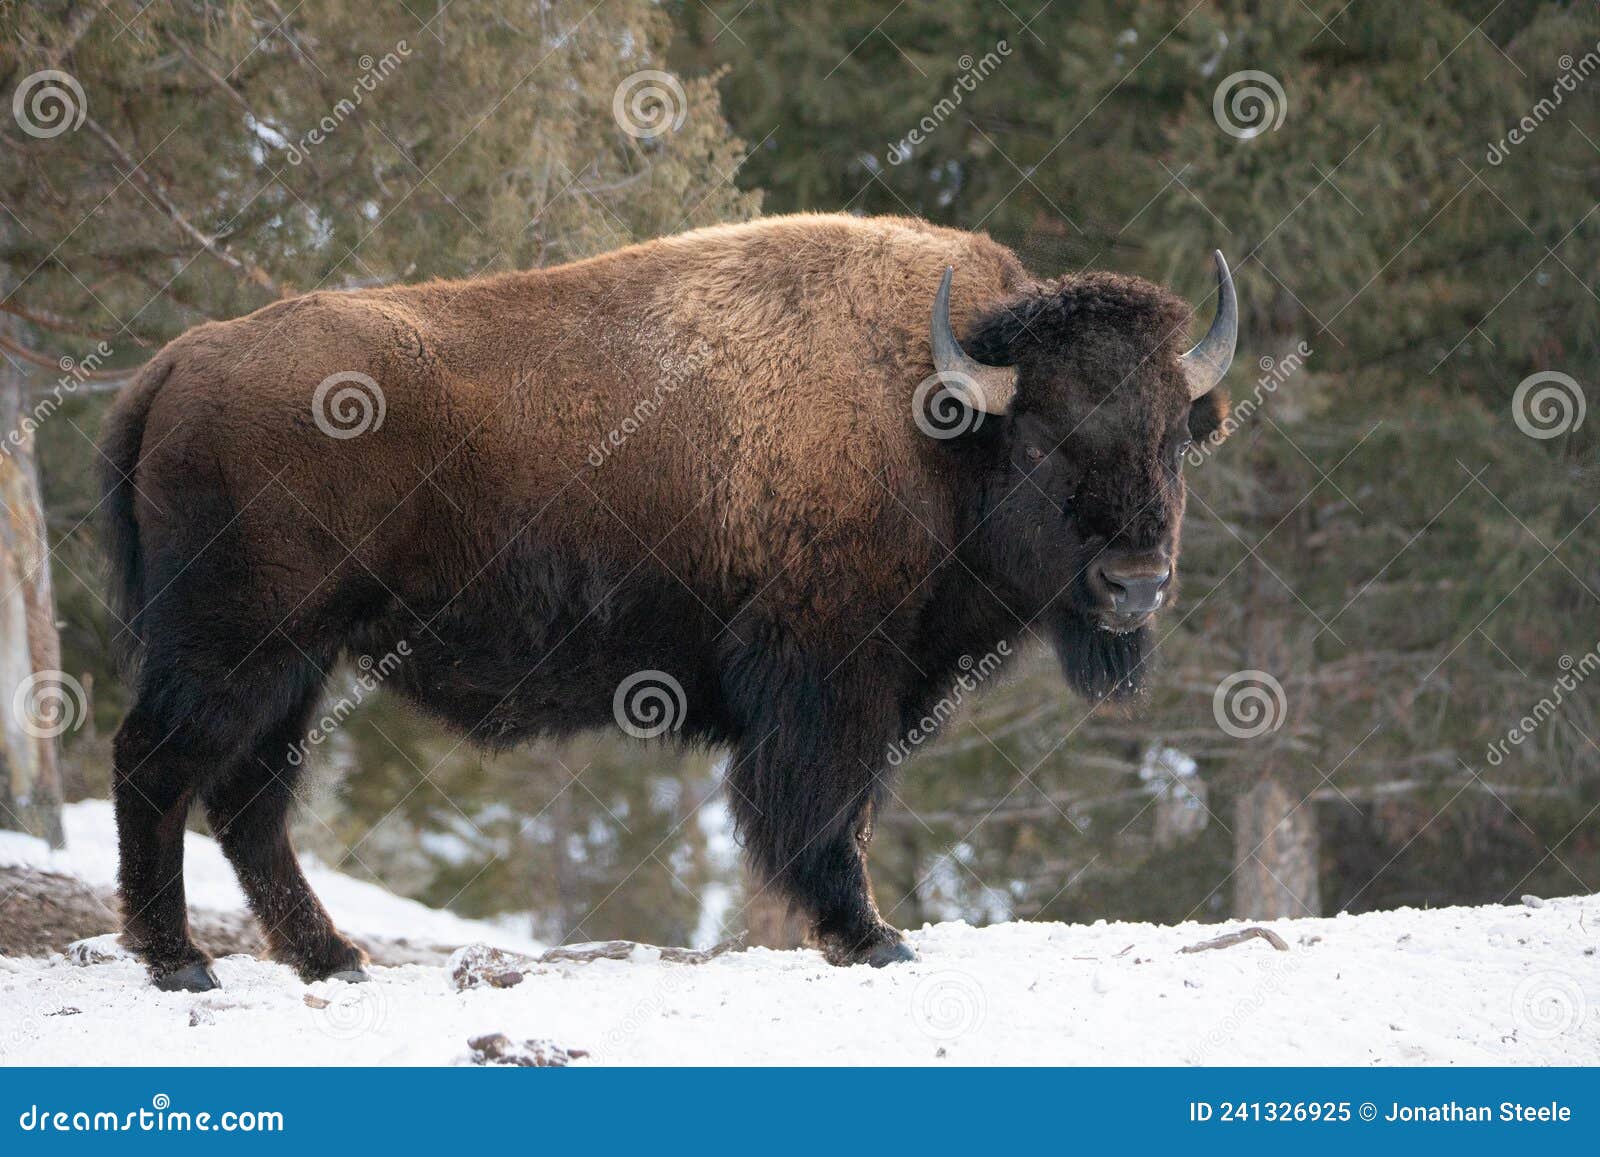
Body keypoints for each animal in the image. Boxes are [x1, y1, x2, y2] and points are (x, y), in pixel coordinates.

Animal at [99, 213, 1236, 990]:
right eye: (1043, 438)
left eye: (1176, 438)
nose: (1136, 584)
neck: (932, 415)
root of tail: (180, 359)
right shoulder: (831, 675)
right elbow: (828, 806)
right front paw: (871, 937)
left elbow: (845, 805)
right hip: (239, 648)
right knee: (159, 765)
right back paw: (182, 960)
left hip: (298, 659)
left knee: (248, 797)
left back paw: (330, 955)